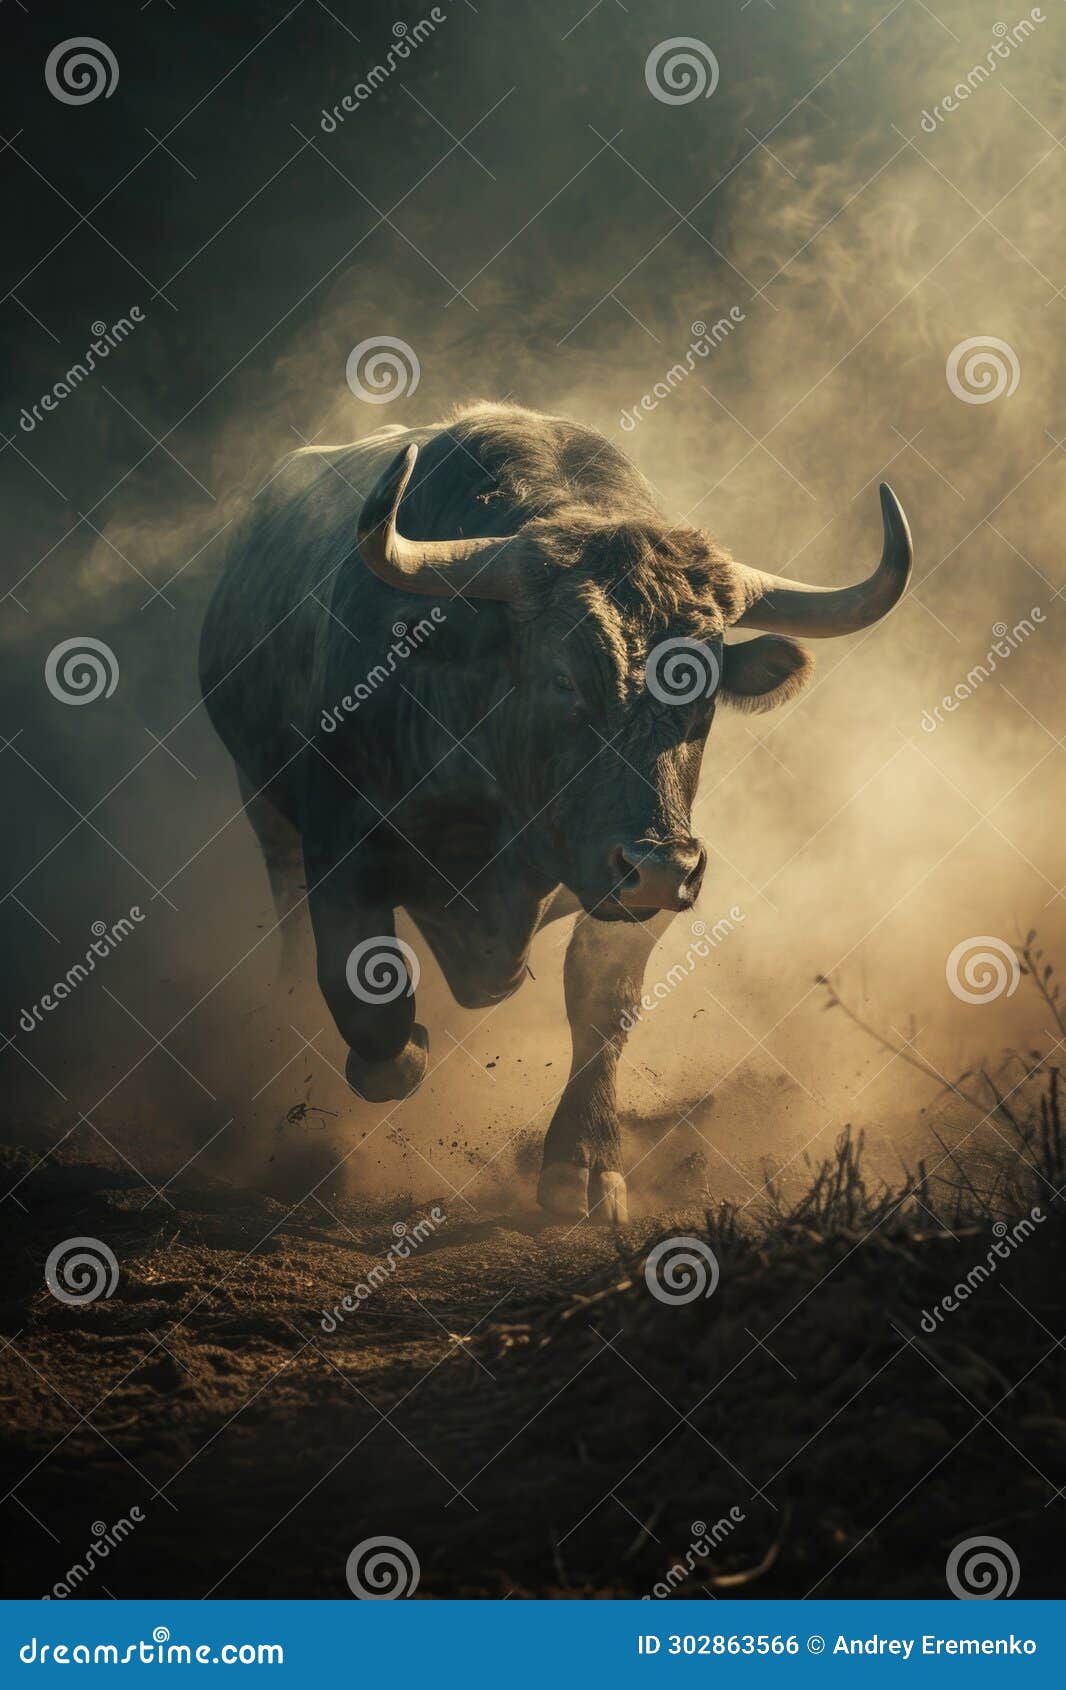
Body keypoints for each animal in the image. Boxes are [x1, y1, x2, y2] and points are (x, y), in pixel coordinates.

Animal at [199, 401, 911, 1223]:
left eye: (703, 692)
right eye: (564, 679)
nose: (661, 863)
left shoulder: (633, 891)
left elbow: (604, 1000)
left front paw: (584, 1163)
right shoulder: (338, 848)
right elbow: (363, 990)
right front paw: (400, 1059)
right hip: (263, 809)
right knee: (290, 931)